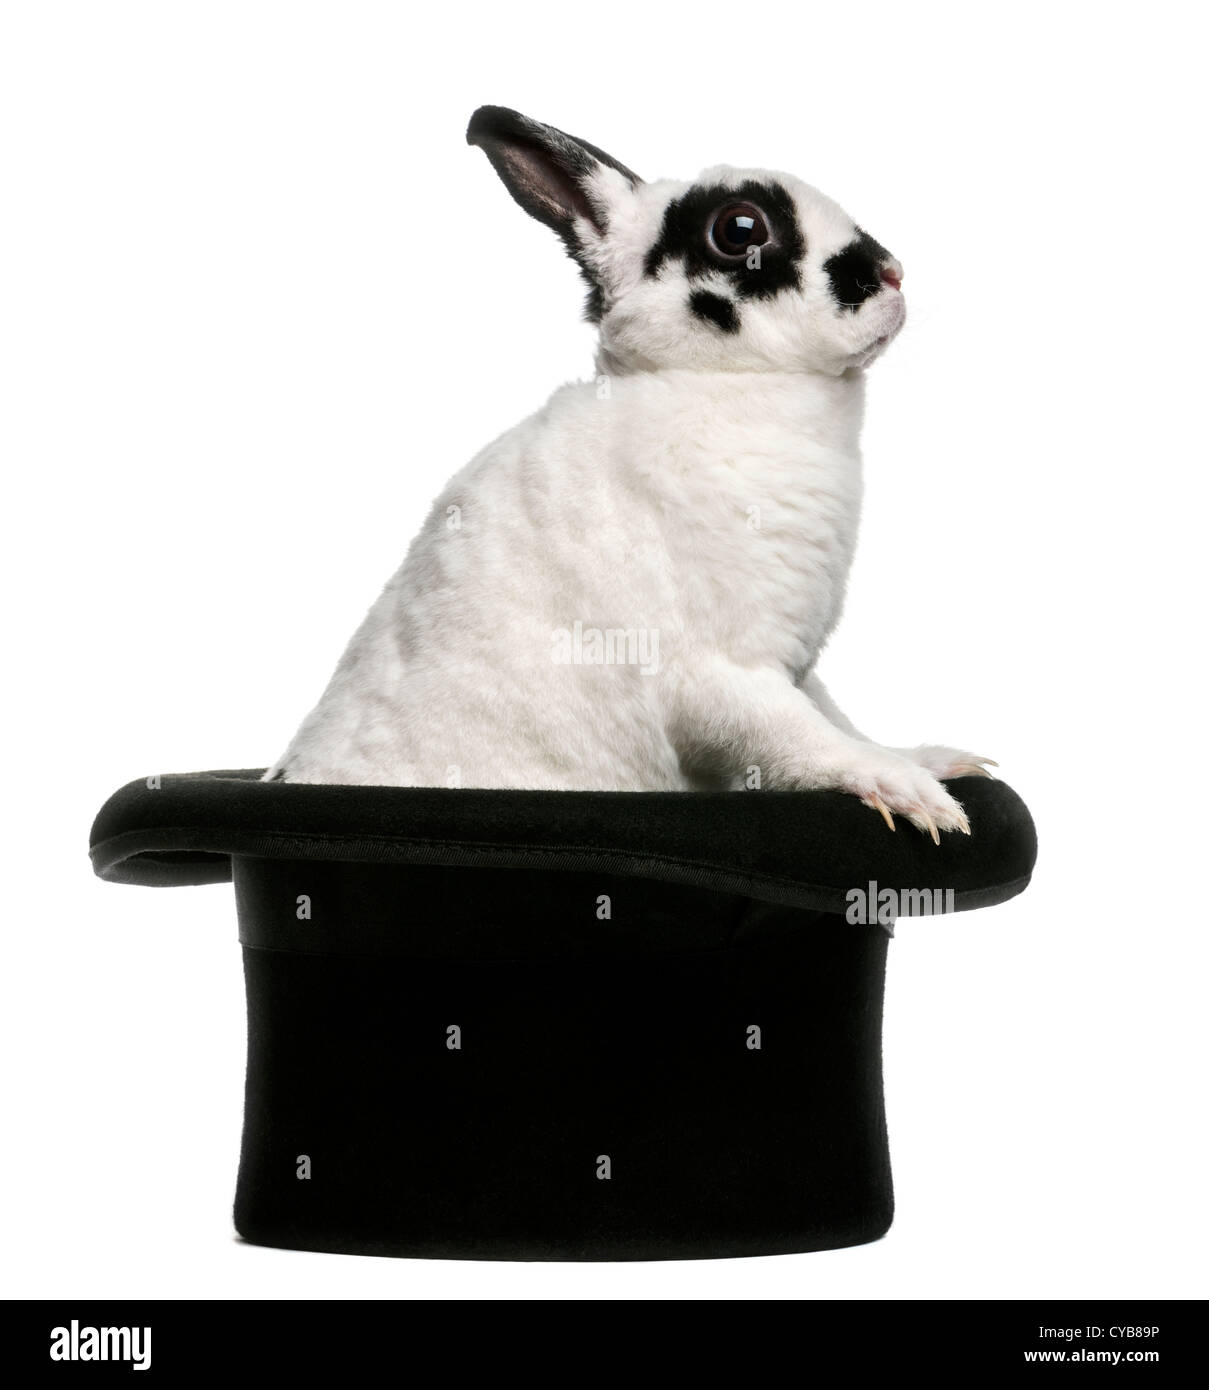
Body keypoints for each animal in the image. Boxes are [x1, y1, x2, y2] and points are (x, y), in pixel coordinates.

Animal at [265, 105, 995, 839]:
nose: (893, 274)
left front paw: (937, 762)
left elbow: (836, 718)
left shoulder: (796, 669)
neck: (707, 380)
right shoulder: (723, 674)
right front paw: (914, 796)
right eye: (739, 229)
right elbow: (806, 738)